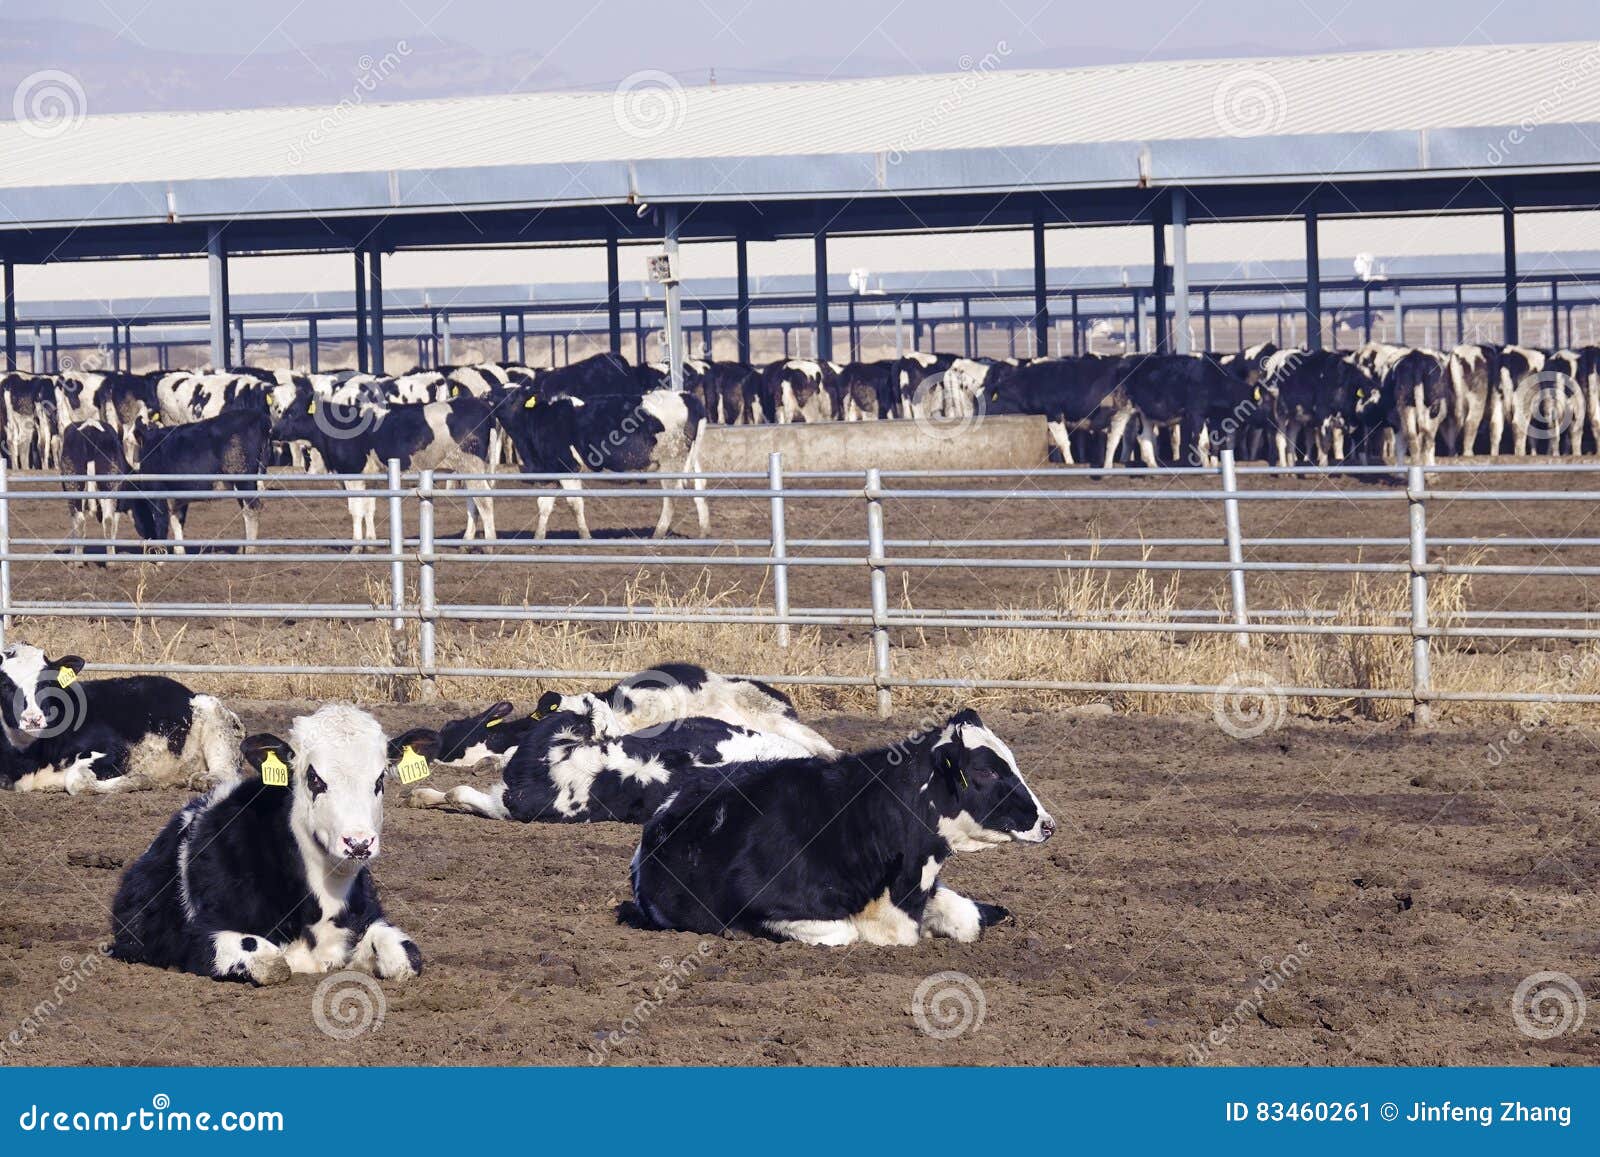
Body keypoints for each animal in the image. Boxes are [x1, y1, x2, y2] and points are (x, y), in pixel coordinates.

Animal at [0, 643, 243, 794]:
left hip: (214, 714)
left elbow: (76, 780)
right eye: (5, 684)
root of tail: (187, 692)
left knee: (228, 773)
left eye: (48, 683)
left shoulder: (119, 751)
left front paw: (139, 779)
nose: (33, 719)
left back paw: (204, 780)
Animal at [109, 705, 438, 985]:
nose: (358, 843)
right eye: (314, 779)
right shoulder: (197, 937)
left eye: (379, 779)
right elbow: (272, 962)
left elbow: (406, 955)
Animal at [125, 409, 271, 553]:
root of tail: (258, 417)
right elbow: (177, 521)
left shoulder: (156, 494)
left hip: (242, 478)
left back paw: (249, 550)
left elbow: (161, 523)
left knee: (252, 510)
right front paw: (179, 552)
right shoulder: (177, 497)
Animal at [496, 390, 706, 540]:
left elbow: (575, 503)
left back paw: (658, 533)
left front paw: (585, 536)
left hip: (671, 462)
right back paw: (704, 531)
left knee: (671, 497)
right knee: (700, 486)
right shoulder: (549, 473)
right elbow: (544, 505)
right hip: (690, 461)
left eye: (514, 397)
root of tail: (687, 396)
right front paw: (538, 538)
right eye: (496, 395)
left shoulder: (568, 469)